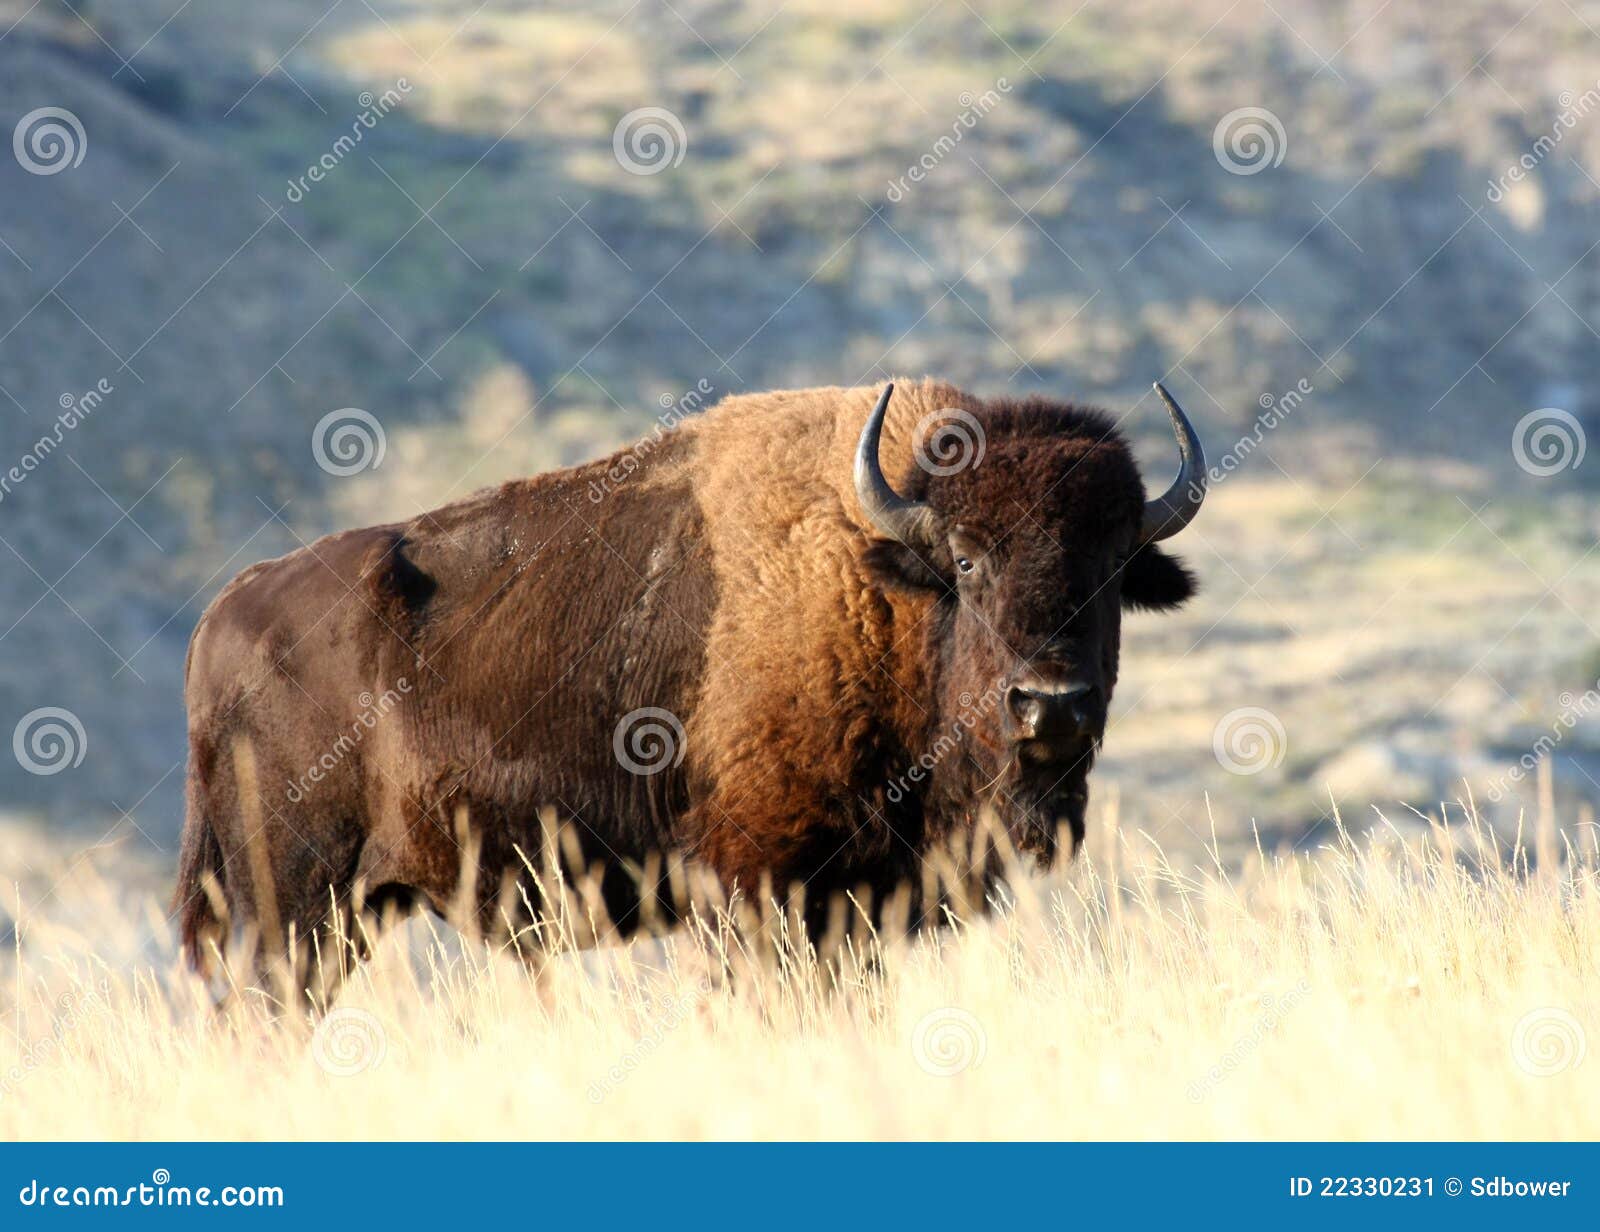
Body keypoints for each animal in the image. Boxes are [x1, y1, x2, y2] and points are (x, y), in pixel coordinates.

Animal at [174, 379, 1203, 990]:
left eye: (1115, 568)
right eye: (966, 560)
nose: (1051, 706)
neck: (879, 587)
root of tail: (222, 617)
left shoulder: (859, 905)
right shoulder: (760, 887)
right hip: (293, 910)